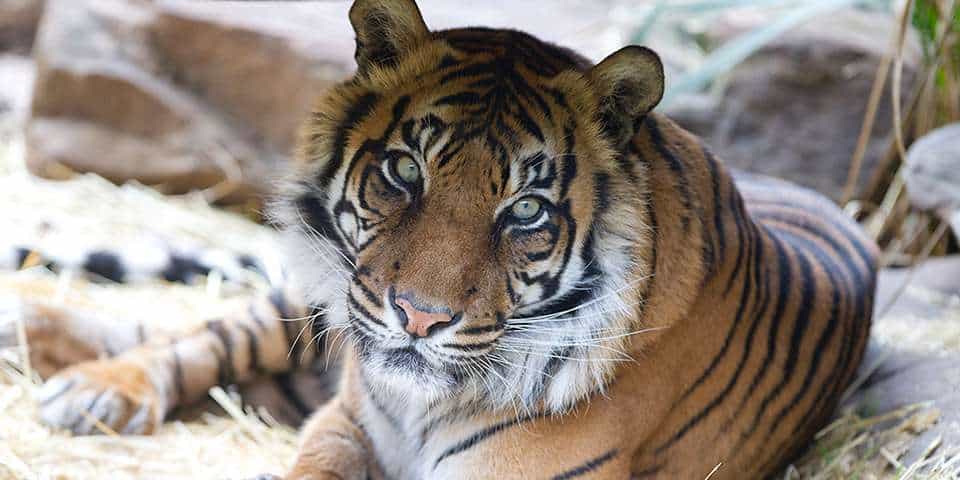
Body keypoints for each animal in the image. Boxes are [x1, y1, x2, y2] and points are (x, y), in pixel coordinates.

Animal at [9, 0, 879, 478]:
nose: (419, 319)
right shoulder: (342, 423)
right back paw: (72, 367)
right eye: (404, 170)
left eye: (525, 211)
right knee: (201, 333)